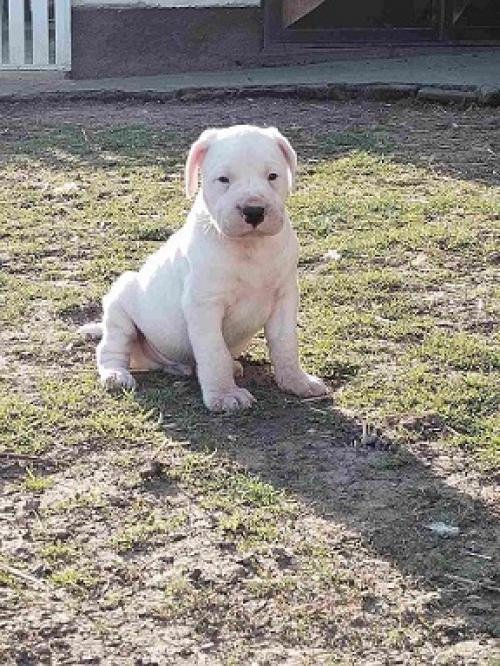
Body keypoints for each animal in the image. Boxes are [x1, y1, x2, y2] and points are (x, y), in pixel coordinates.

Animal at [80, 122, 326, 408]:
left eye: (273, 176)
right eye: (223, 179)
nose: (254, 211)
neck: (250, 248)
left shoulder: (285, 298)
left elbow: (285, 343)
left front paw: (297, 381)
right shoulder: (205, 306)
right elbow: (214, 351)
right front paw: (224, 395)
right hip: (120, 308)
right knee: (111, 348)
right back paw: (116, 375)